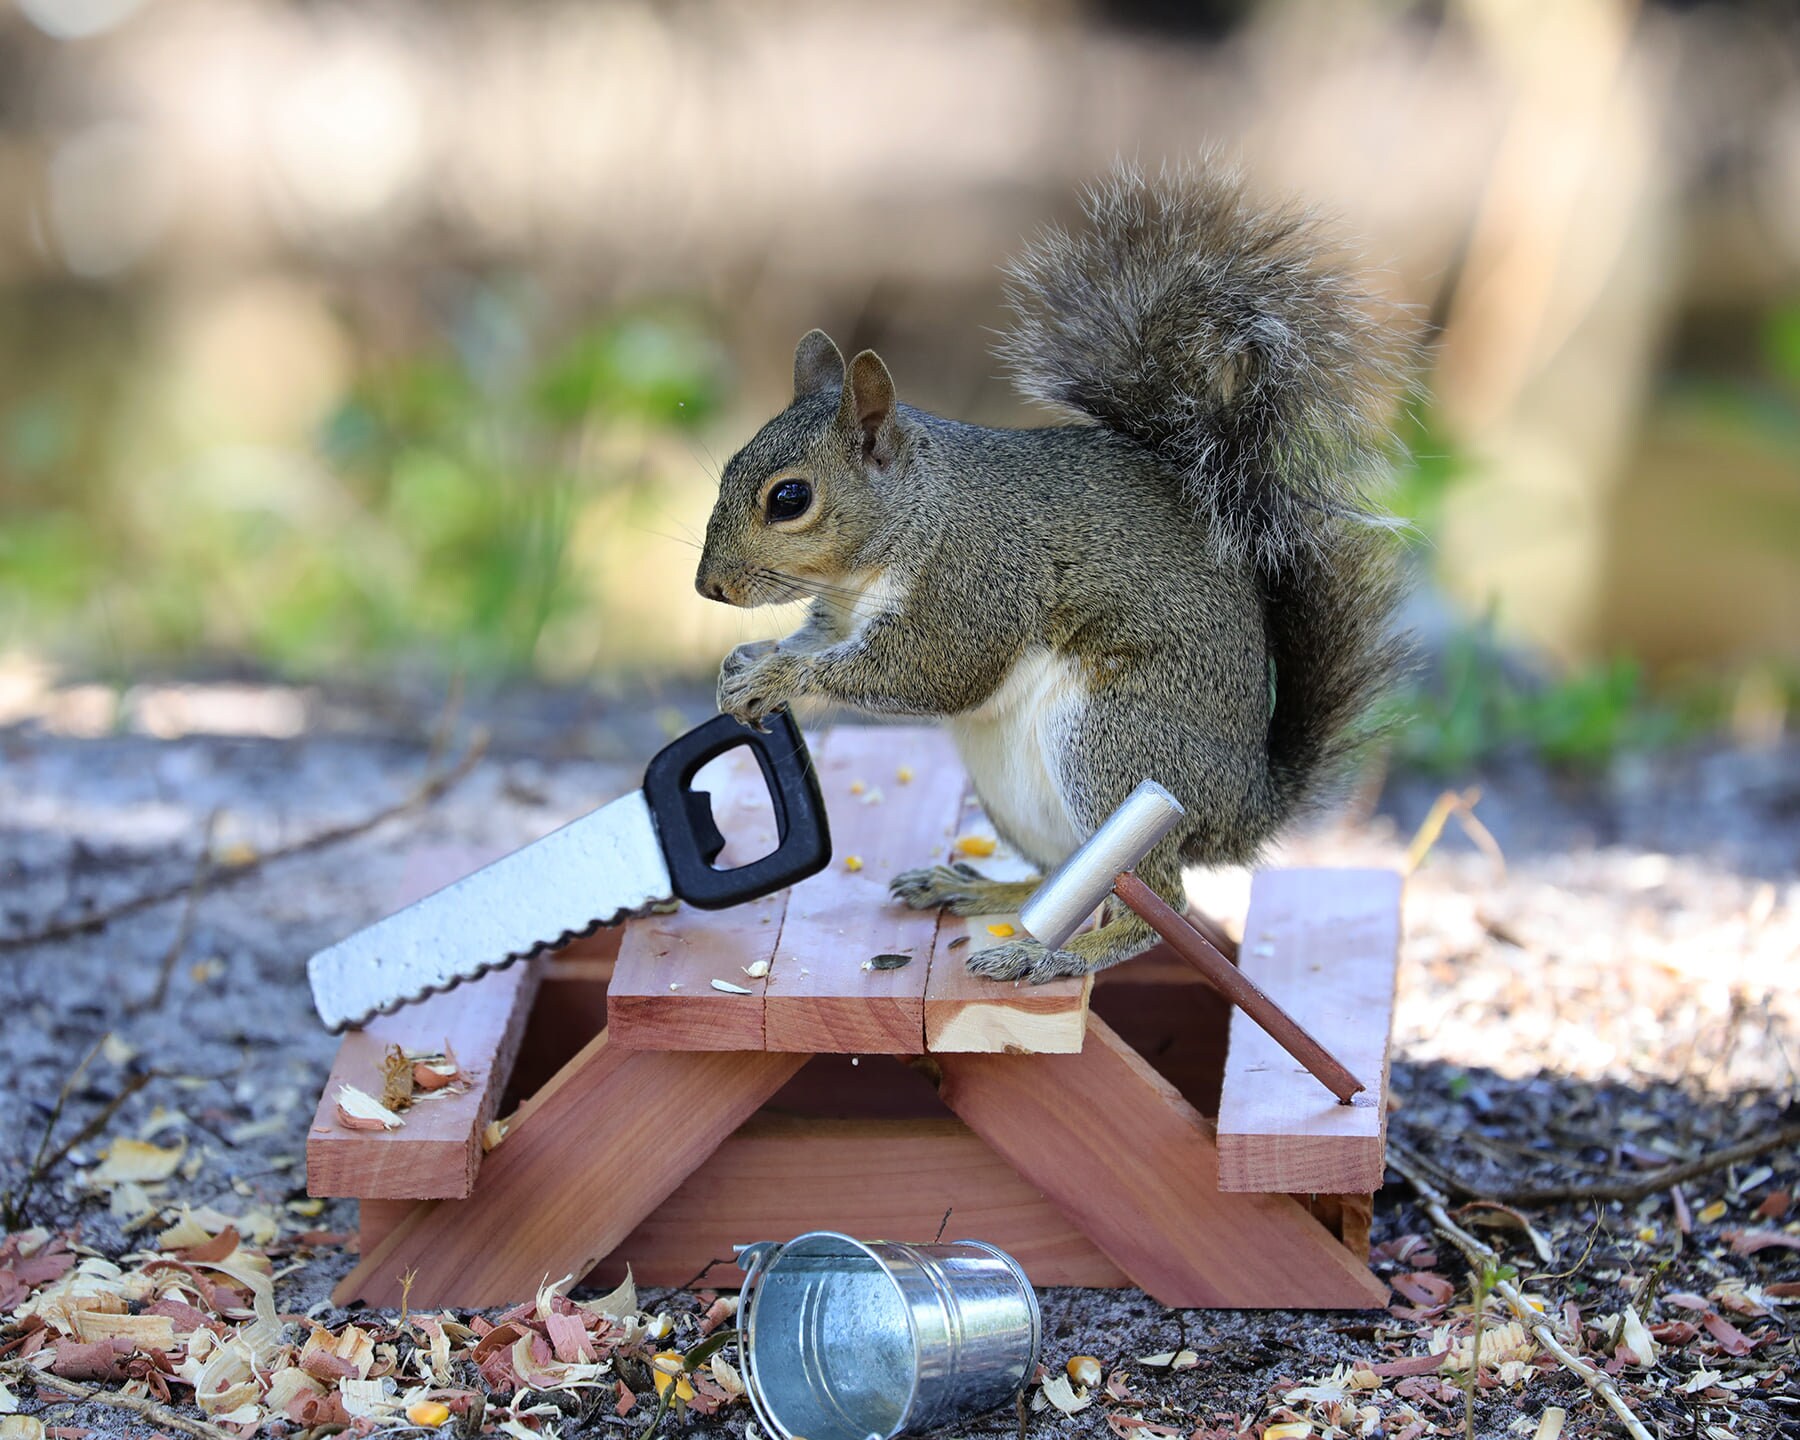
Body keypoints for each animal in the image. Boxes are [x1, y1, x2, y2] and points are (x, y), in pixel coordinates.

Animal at [694, 161, 1411, 984]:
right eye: (728, 468)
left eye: (789, 498)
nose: (708, 588)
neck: (909, 523)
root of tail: (1242, 808)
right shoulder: (839, 614)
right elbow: (812, 642)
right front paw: (746, 663)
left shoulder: (974, 584)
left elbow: (924, 672)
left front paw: (780, 677)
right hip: (1021, 789)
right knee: (1064, 871)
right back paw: (979, 892)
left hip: (1119, 748)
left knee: (1159, 903)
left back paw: (1048, 957)